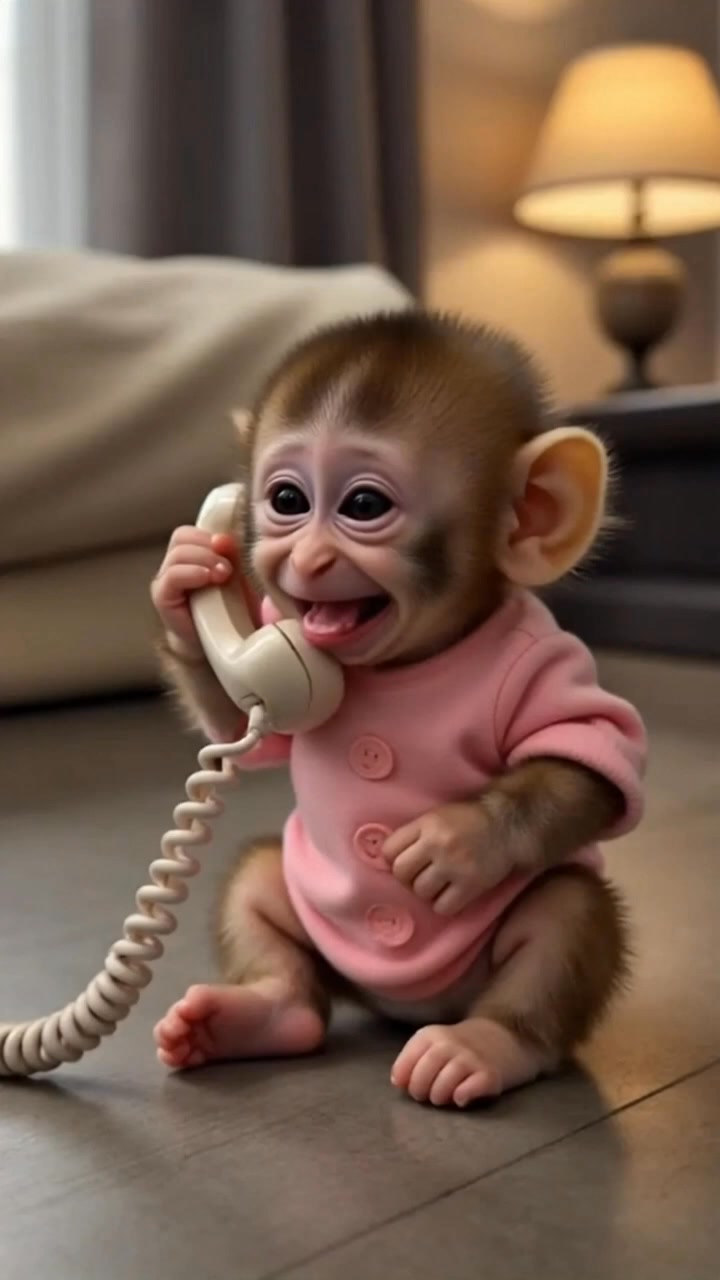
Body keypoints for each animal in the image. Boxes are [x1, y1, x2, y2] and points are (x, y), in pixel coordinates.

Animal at [150, 310, 646, 1108]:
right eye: (285, 501)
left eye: (363, 505)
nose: (309, 561)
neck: (404, 667)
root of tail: (404, 1007)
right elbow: (238, 728)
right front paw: (183, 579)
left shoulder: (551, 666)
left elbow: (587, 765)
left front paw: (451, 843)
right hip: (298, 907)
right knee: (262, 898)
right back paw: (252, 1015)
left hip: (518, 946)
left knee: (563, 921)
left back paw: (477, 1049)